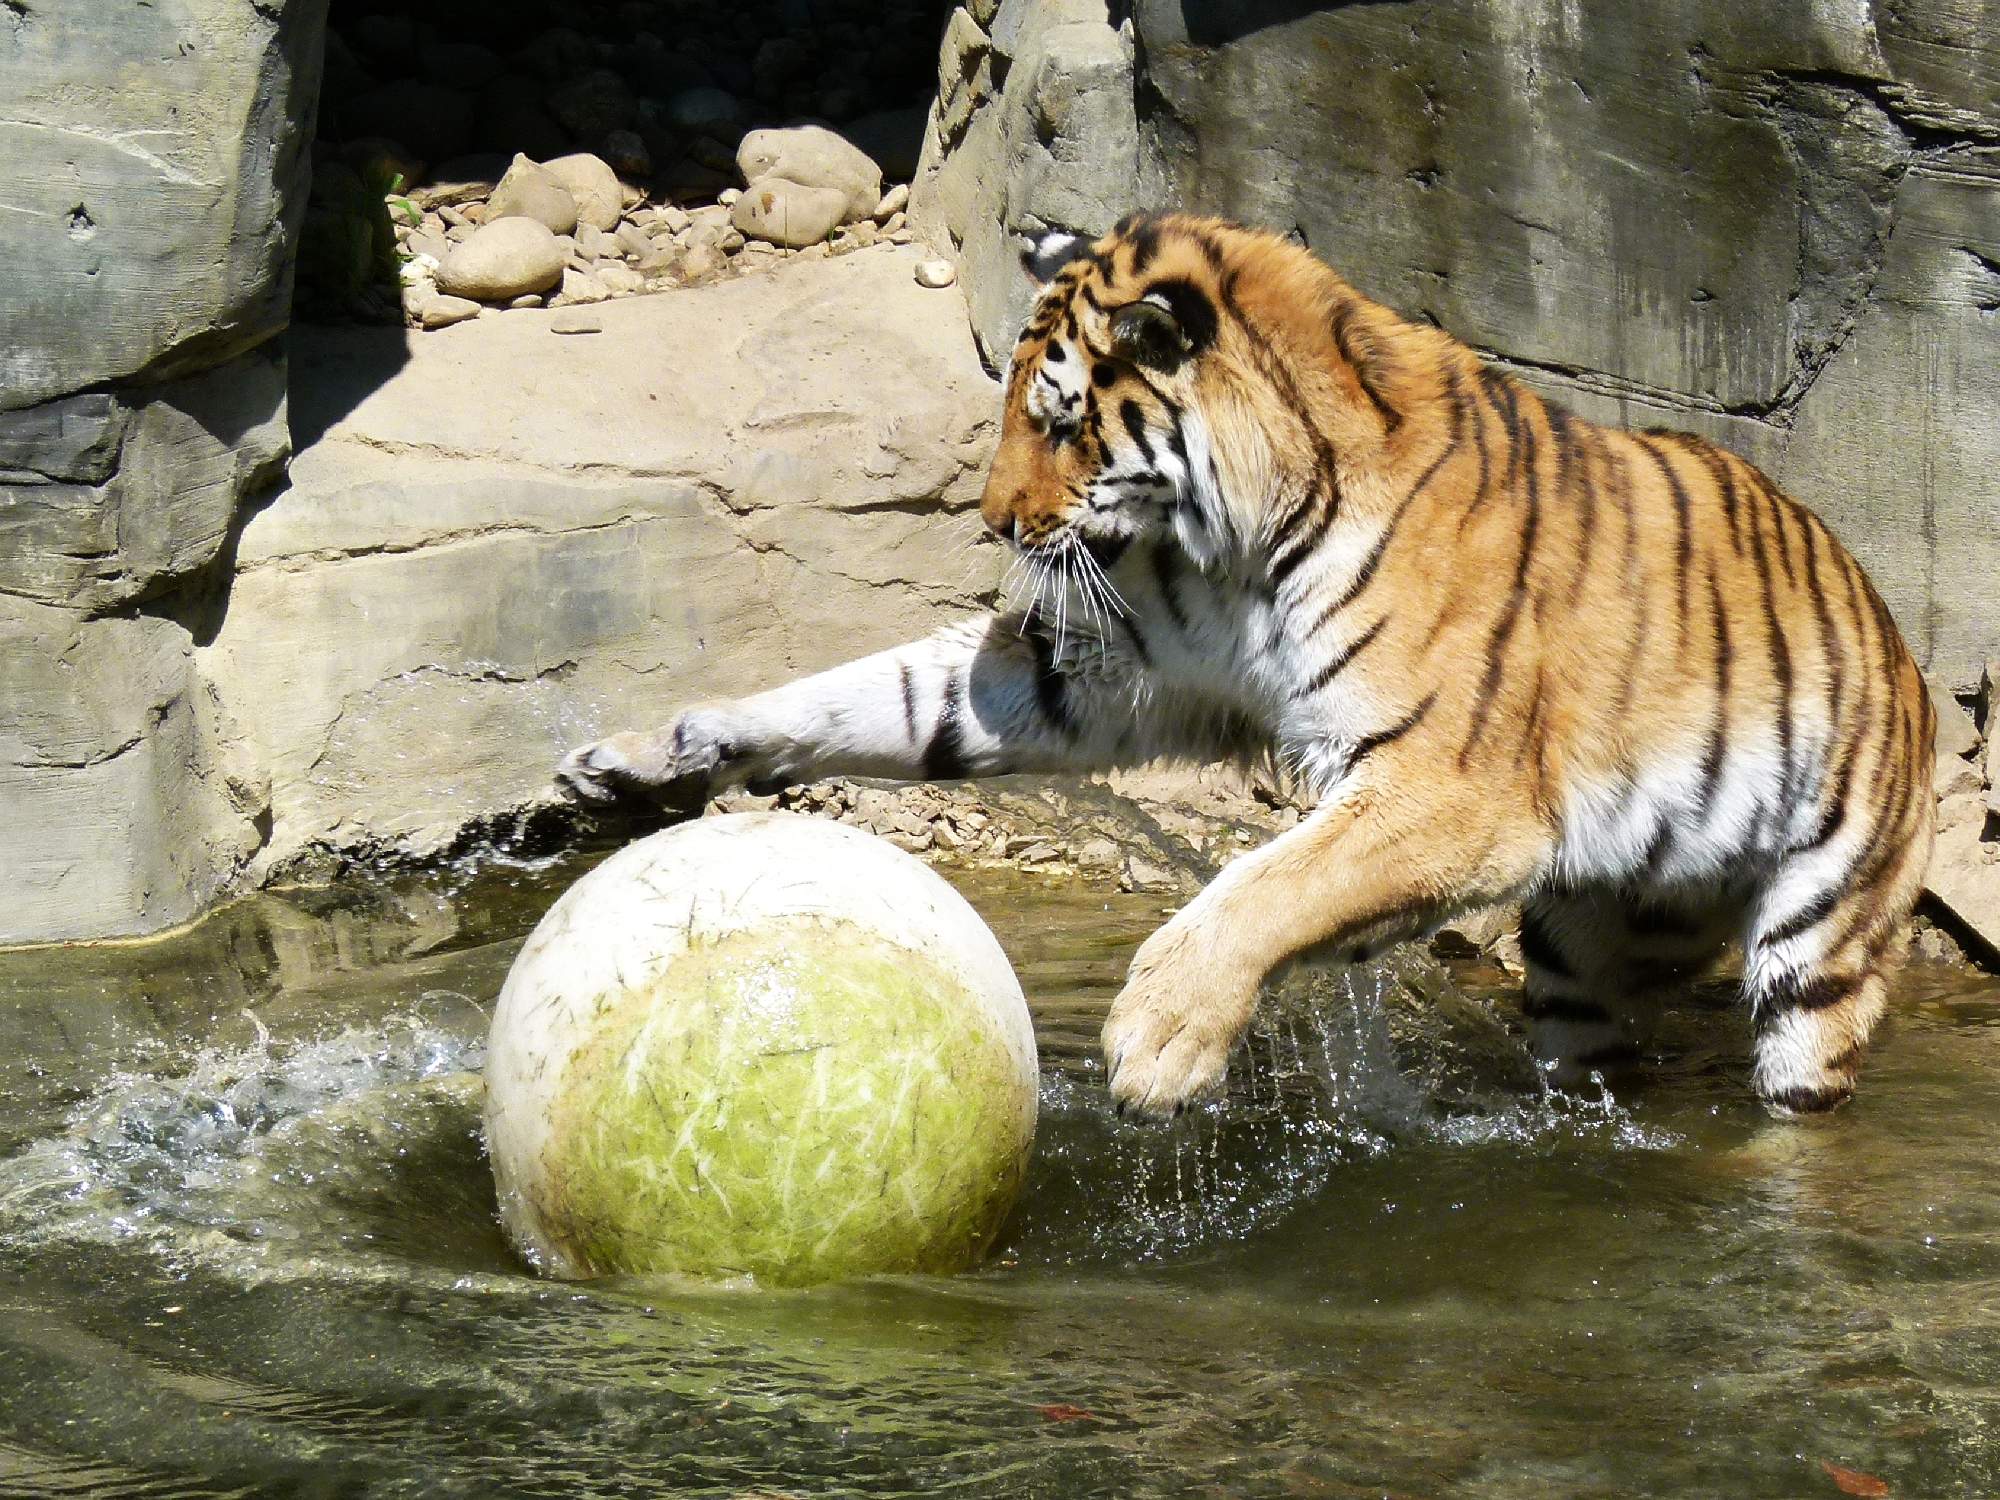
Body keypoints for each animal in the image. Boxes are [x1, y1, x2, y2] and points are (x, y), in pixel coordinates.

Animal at [558, 211, 1937, 1122]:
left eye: (1058, 420)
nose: (994, 523)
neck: (1239, 543)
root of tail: (1890, 629)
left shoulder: (1450, 793)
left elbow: (1267, 887)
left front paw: (1154, 1042)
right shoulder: (1103, 667)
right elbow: (875, 694)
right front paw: (649, 755)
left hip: (1820, 939)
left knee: (1800, 1075)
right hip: (1587, 946)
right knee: (1590, 1047)